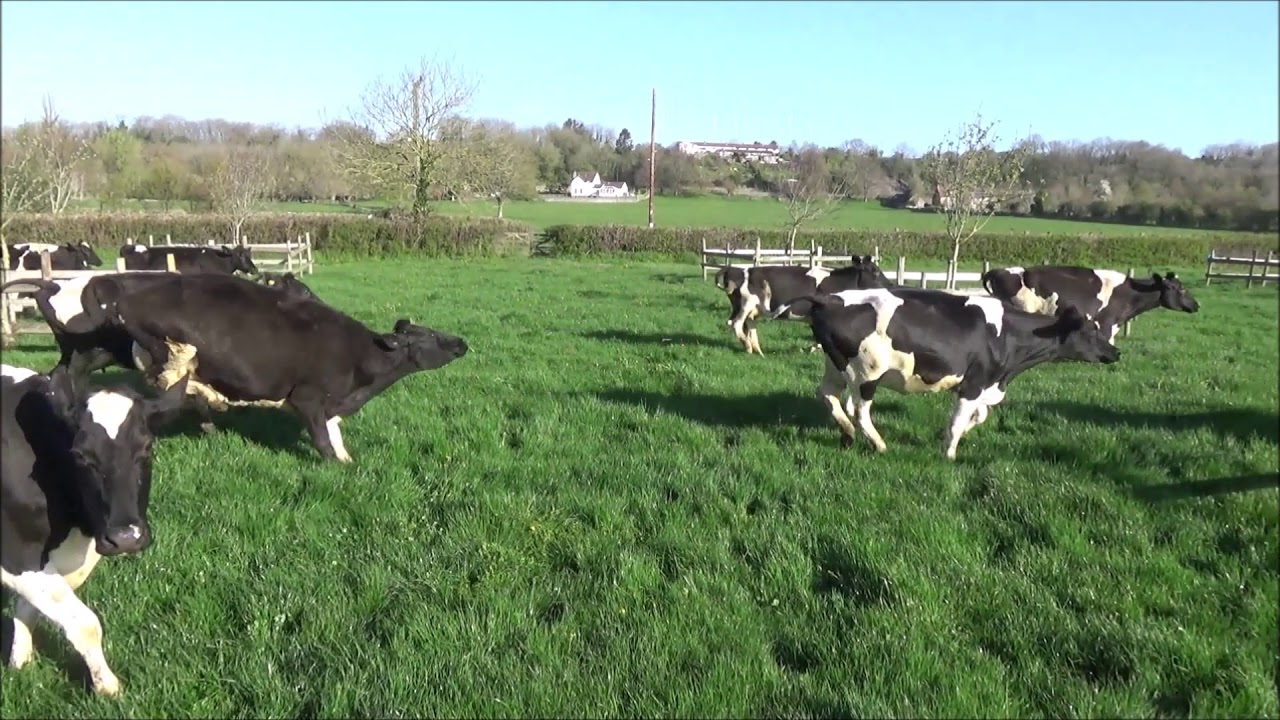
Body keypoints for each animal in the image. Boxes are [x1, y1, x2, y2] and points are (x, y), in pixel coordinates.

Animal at [2, 364, 188, 695]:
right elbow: (85, 623)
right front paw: (107, 687)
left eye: (147, 446)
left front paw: (18, 664)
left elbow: (28, 608)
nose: (125, 538)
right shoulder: (15, 553)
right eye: (80, 455)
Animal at [59, 272, 469, 462]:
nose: (461, 343)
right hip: (171, 357)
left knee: (72, 370)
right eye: (428, 338)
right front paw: (336, 466)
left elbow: (334, 436)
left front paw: (348, 460)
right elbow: (322, 440)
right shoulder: (308, 398)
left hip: (105, 350)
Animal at [713, 255, 893, 355]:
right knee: (736, 323)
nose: (891, 285)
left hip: (752, 309)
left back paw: (757, 350)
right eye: (876, 271)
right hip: (746, 304)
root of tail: (736, 269)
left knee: (748, 325)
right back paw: (748, 346)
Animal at [773, 288, 1121, 460]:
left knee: (828, 396)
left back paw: (846, 435)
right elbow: (959, 421)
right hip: (867, 373)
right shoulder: (975, 382)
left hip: (834, 364)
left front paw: (948, 437)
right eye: (1090, 330)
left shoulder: (983, 385)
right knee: (859, 411)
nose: (1116, 352)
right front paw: (950, 453)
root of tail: (829, 297)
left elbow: (977, 416)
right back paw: (878, 444)